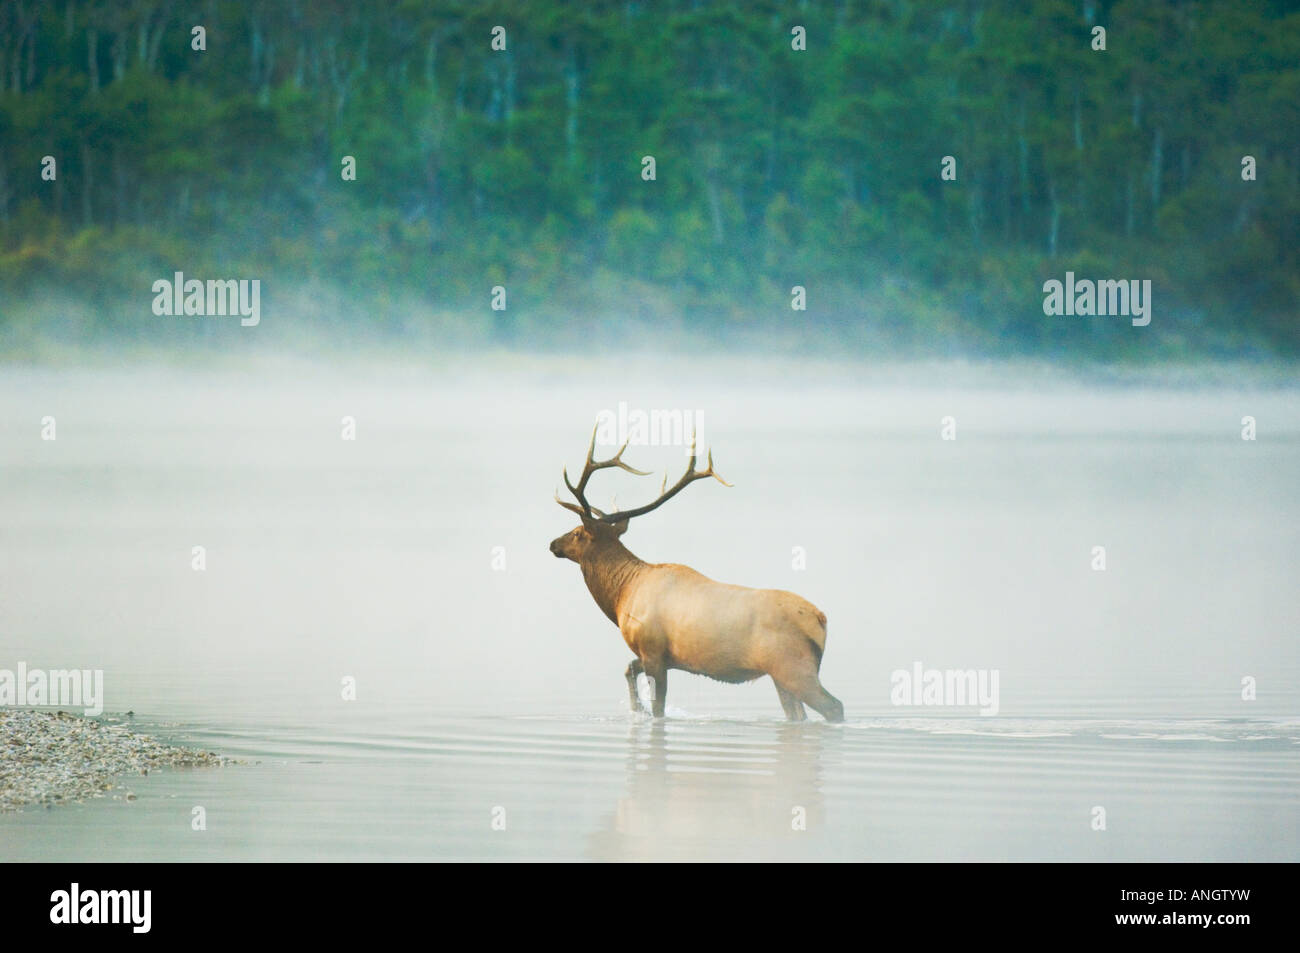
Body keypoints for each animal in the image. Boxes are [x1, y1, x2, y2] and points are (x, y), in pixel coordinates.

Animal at [549, 428, 844, 722]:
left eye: (577, 532)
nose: (553, 543)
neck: (621, 597)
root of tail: (820, 618)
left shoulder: (653, 650)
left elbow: (658, 707)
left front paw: (643, 709)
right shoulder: (659, 657)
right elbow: (628, 670)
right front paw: (637, 708)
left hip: (792, 665)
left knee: (834, 706)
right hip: (782, 674)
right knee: (797, 715)